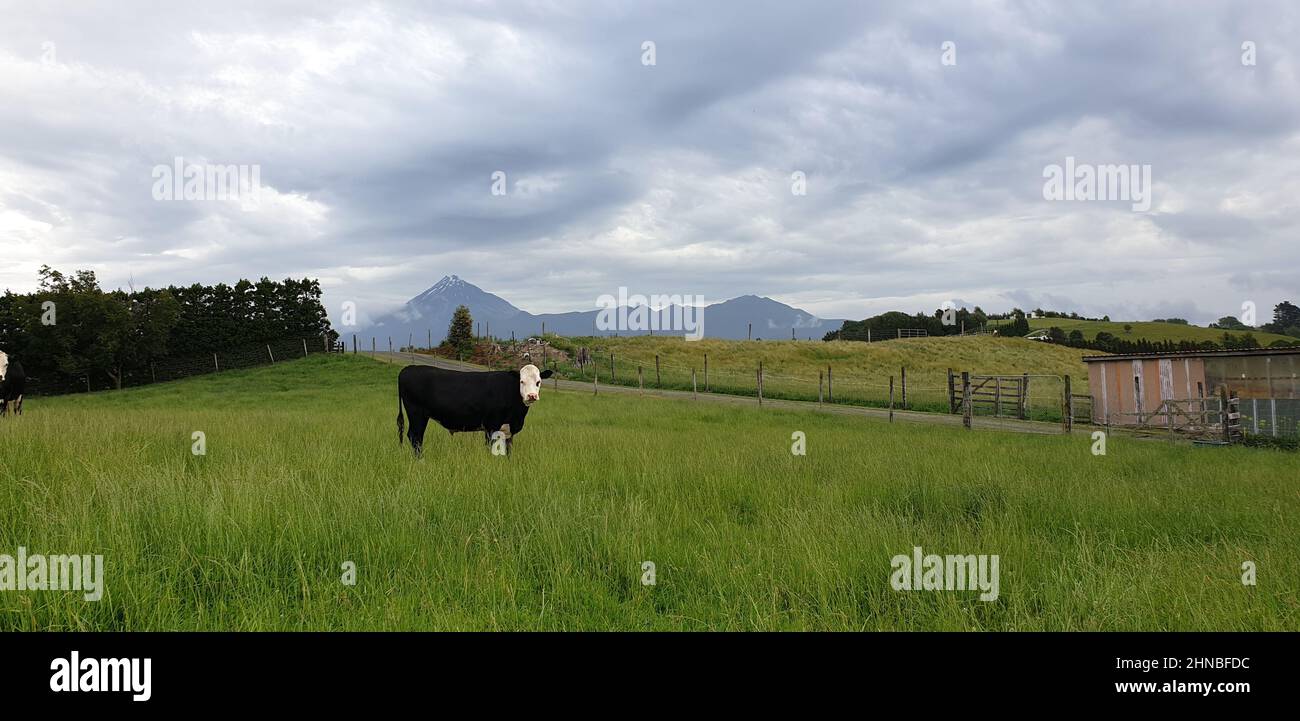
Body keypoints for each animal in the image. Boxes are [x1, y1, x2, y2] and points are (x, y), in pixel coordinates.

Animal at [397, 363, 553, 456]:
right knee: (415, 437)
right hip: (416, 413)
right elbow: (491, 447)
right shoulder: (491, 425)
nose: (531, 395)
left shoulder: (508, 429)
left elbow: (508, 449)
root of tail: (408, 368)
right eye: (522, 381)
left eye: (538, 382)